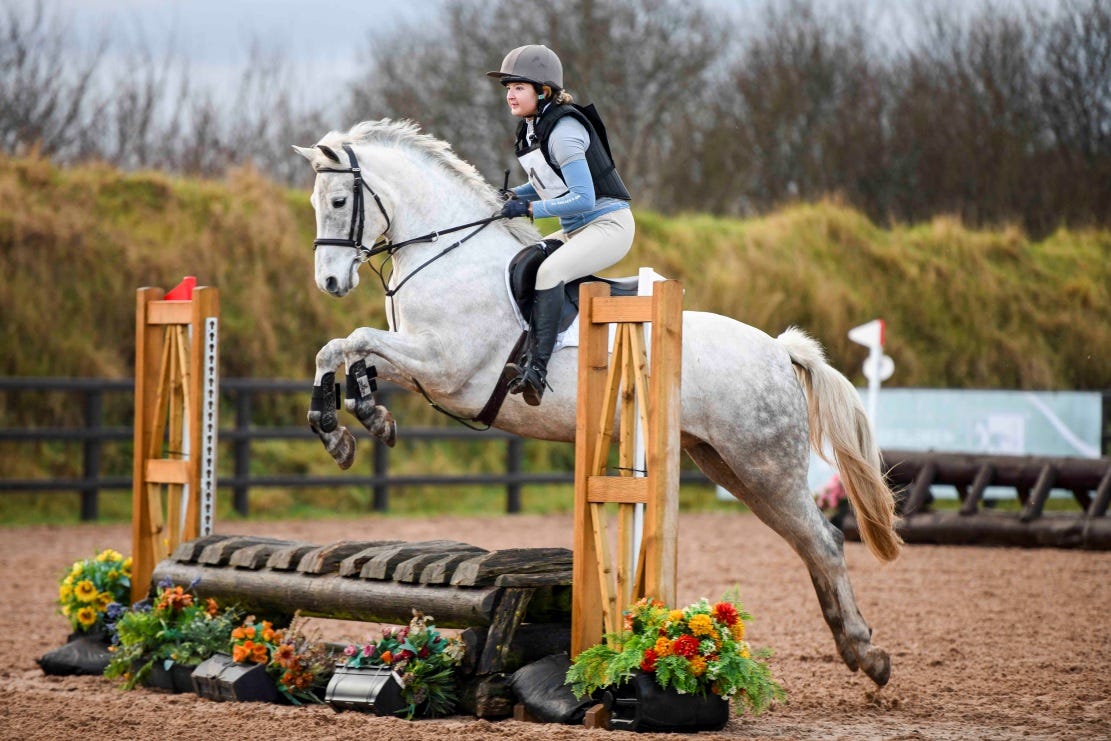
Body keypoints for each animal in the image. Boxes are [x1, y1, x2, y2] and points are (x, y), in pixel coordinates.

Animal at [292, 119, 901, 687]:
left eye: (339, 202)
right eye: (316, 204)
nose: (329, 282)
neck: (448, 255)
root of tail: (778, 349)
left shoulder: (446, 368)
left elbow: (351, 340)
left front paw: (346, 423)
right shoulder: (419, 363)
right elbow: (345, 351)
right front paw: (354, 422)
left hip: (764, 463)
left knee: (824, 540)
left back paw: (867, 654)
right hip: (730, 465)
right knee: (807, 540)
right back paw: (855, 647)